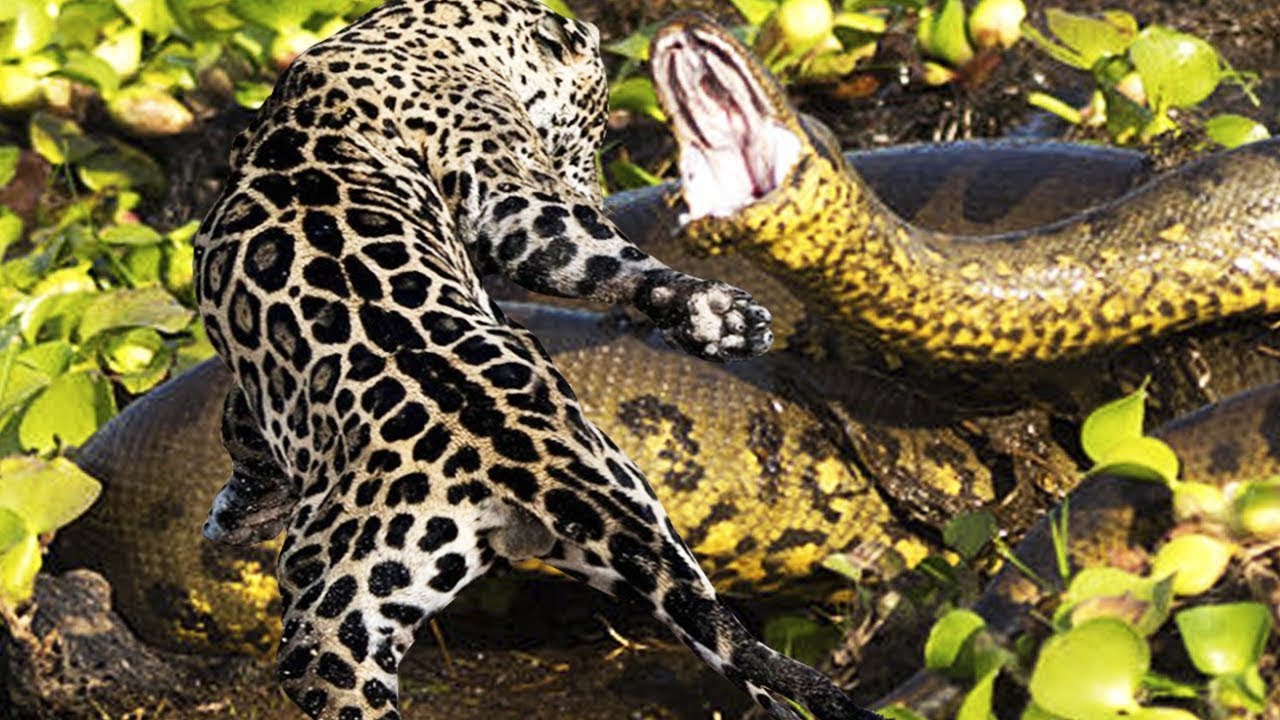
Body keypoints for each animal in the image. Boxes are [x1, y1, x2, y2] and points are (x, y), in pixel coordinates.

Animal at [191, 1, 878, 719]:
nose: (597, 194)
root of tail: (516, 457)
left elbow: (242, 428)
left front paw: (237, 511)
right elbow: (593, 256)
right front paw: (721, 320)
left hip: (336, 618)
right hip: (643, 537)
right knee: (741, 654)